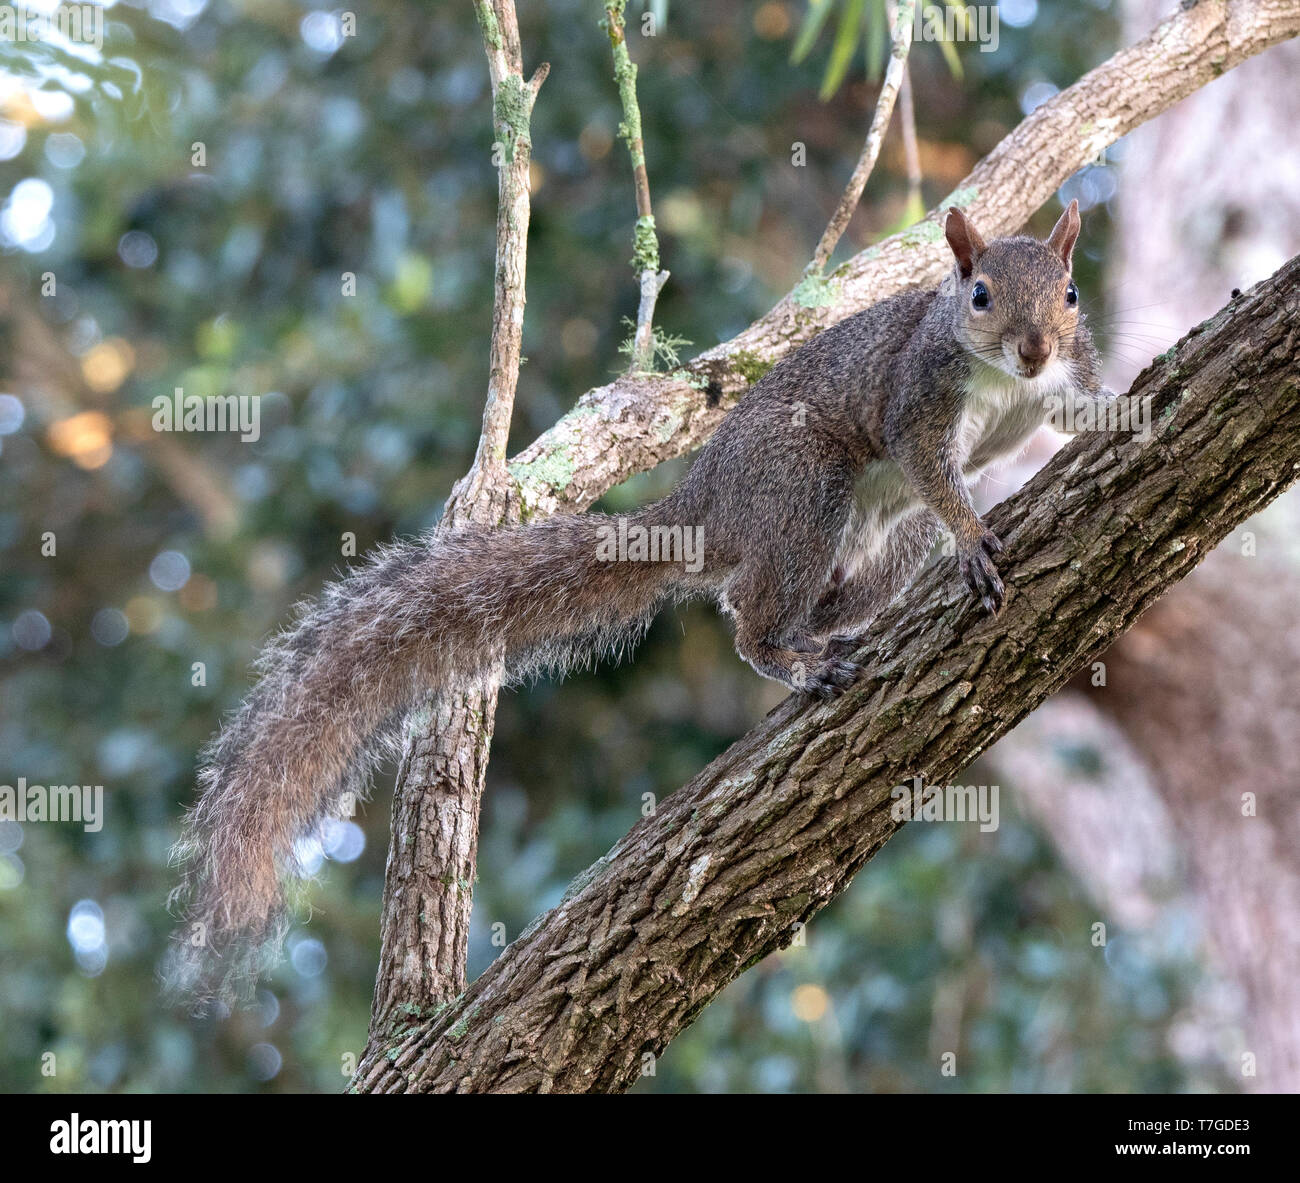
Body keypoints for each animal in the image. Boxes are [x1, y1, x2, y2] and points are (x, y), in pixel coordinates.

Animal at [168, 200, 1117, 1000]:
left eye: (1071, 292)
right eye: (980, 294)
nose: (1034, 348)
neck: (1005, 381)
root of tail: (706, 508)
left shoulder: (1063, 383)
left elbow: (1085, 416)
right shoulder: (918, 398)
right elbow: (934, 471)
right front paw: (973, 535)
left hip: (873, 537)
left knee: (821, 594)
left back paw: (827, 633)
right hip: (803, 487)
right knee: (751, 615)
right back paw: (797, 662)